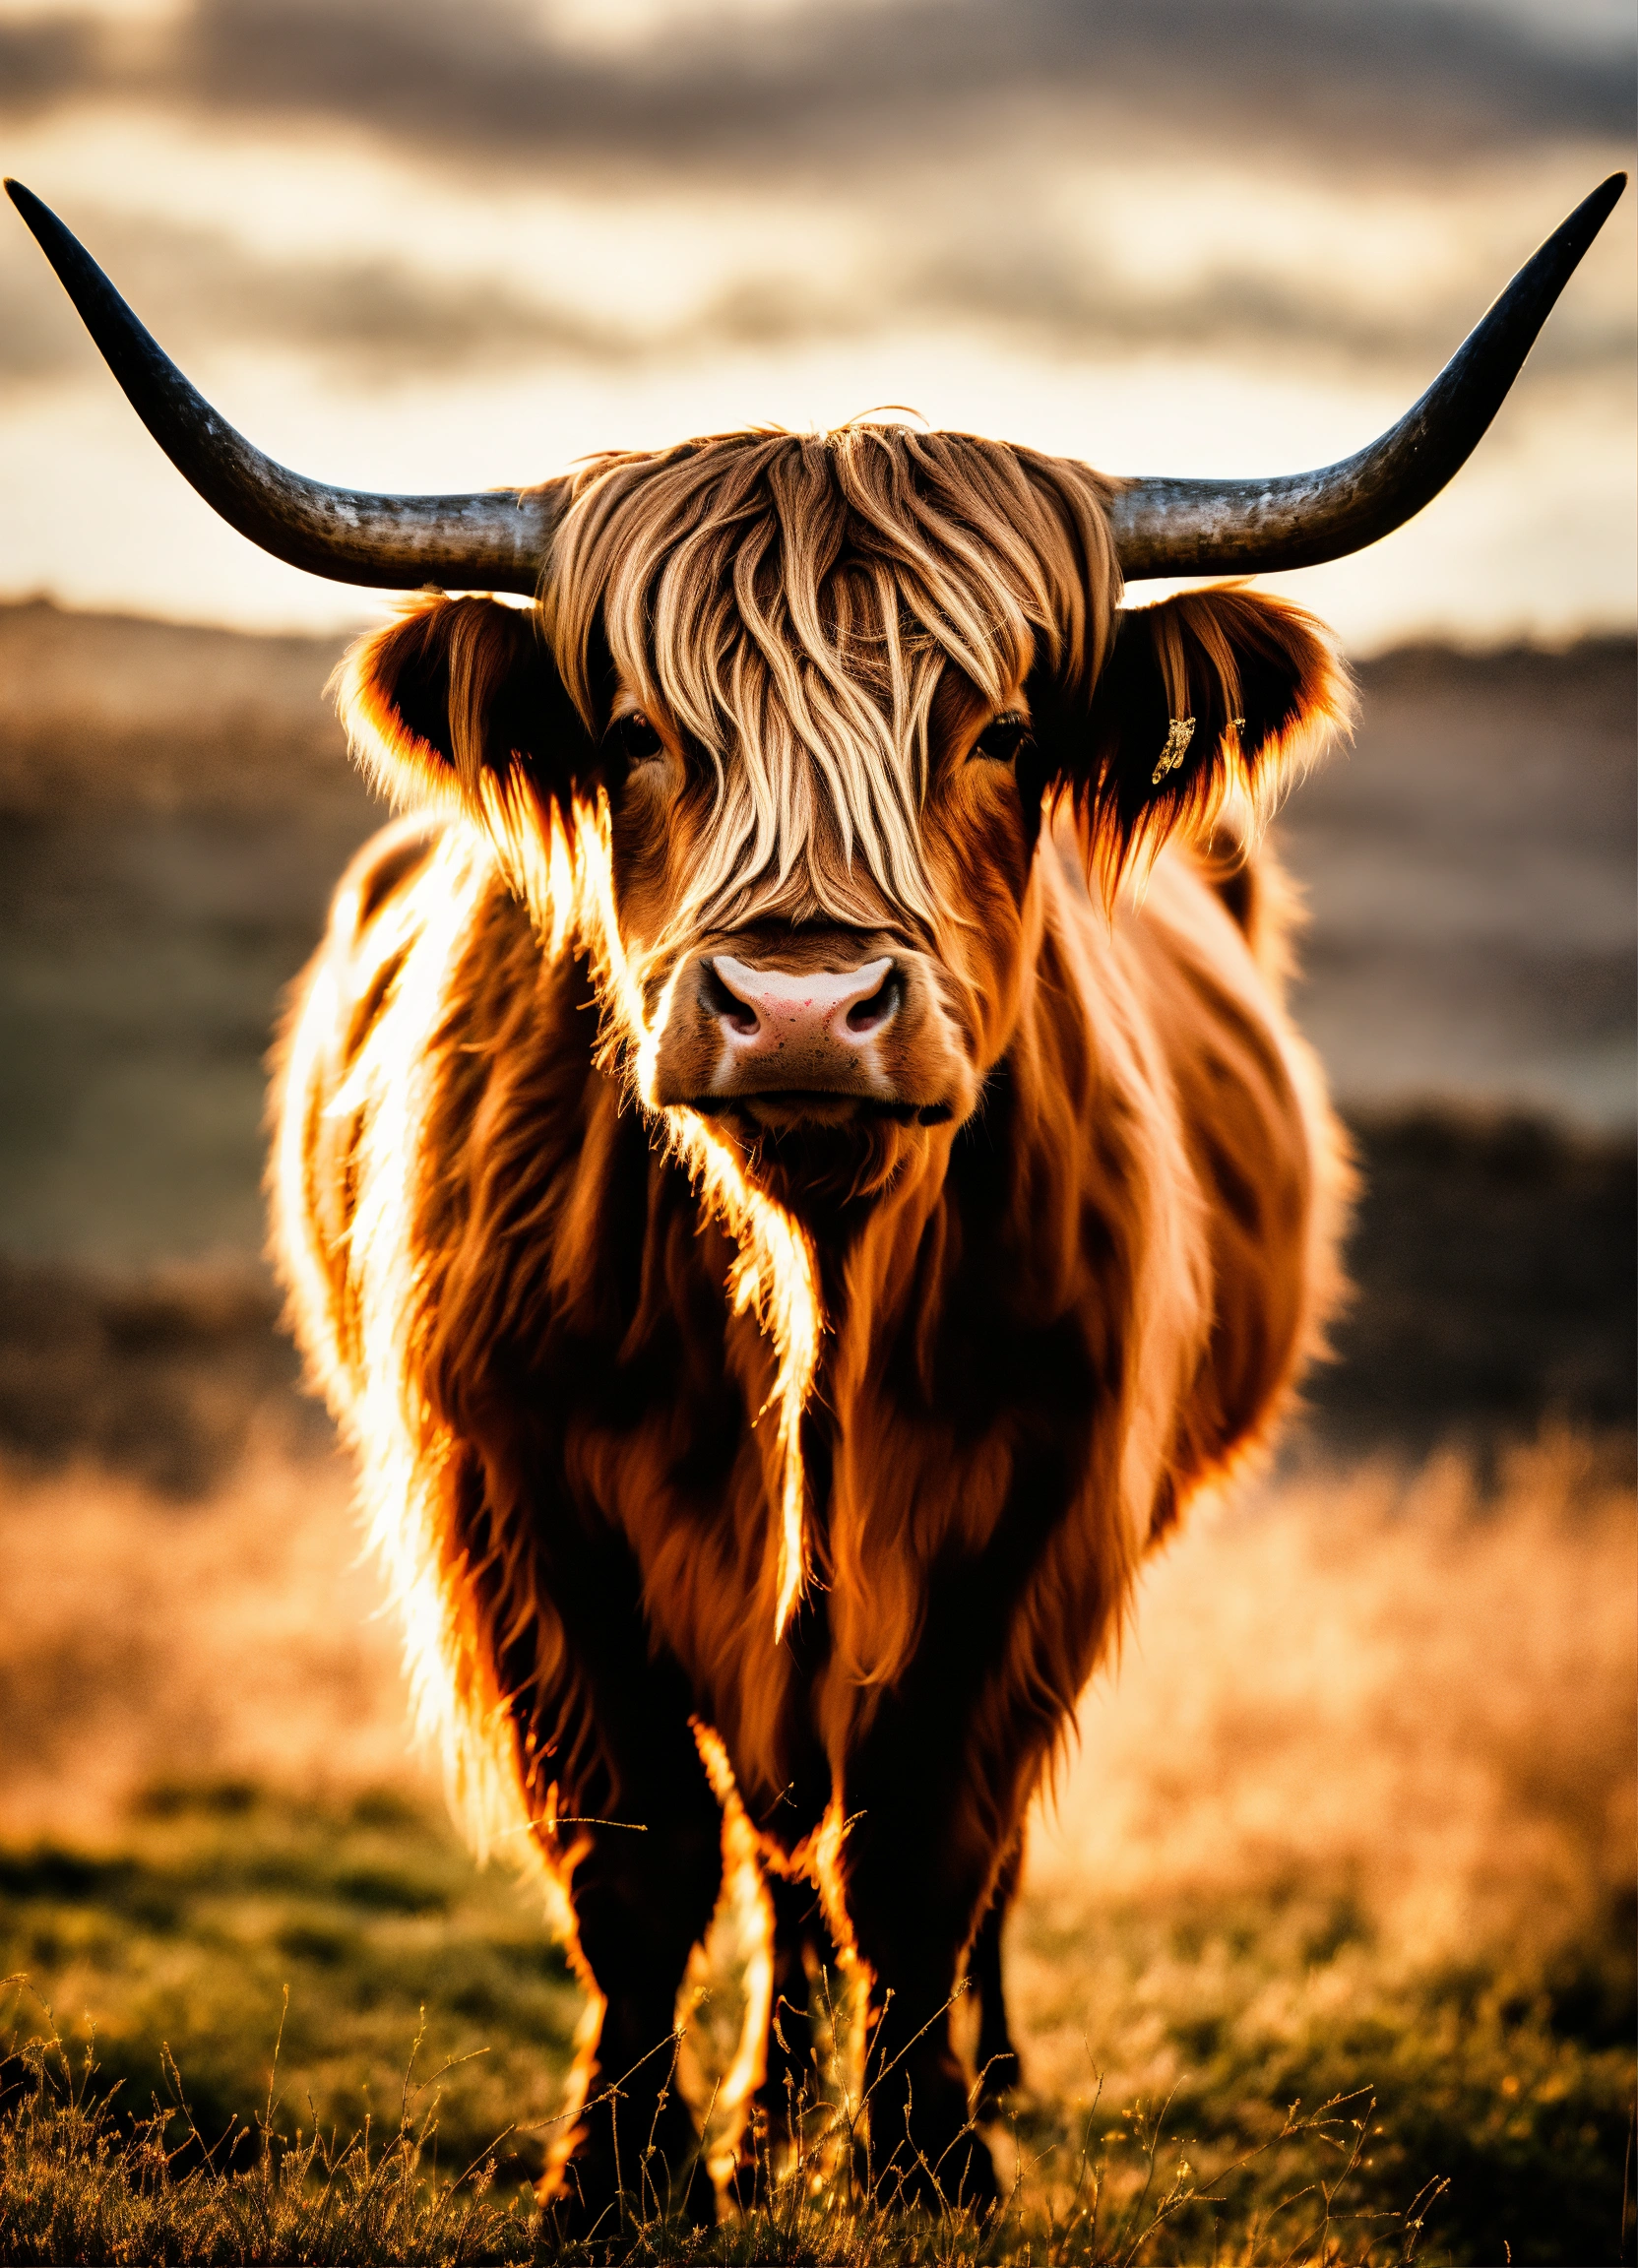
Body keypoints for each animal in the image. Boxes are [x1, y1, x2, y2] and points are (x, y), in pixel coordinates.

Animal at [8, 169, 1623, 2227]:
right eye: (634, 728)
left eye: (1002, 726)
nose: (796, 1003)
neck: (808, 1276)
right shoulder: (511, 1495)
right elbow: (636, 1851)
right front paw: (624, 2176)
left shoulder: (1049, 1505)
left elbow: (928, 1845)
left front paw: (927, 2160)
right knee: (771, 1853)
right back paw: (765, 2116)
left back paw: (961, 2083)